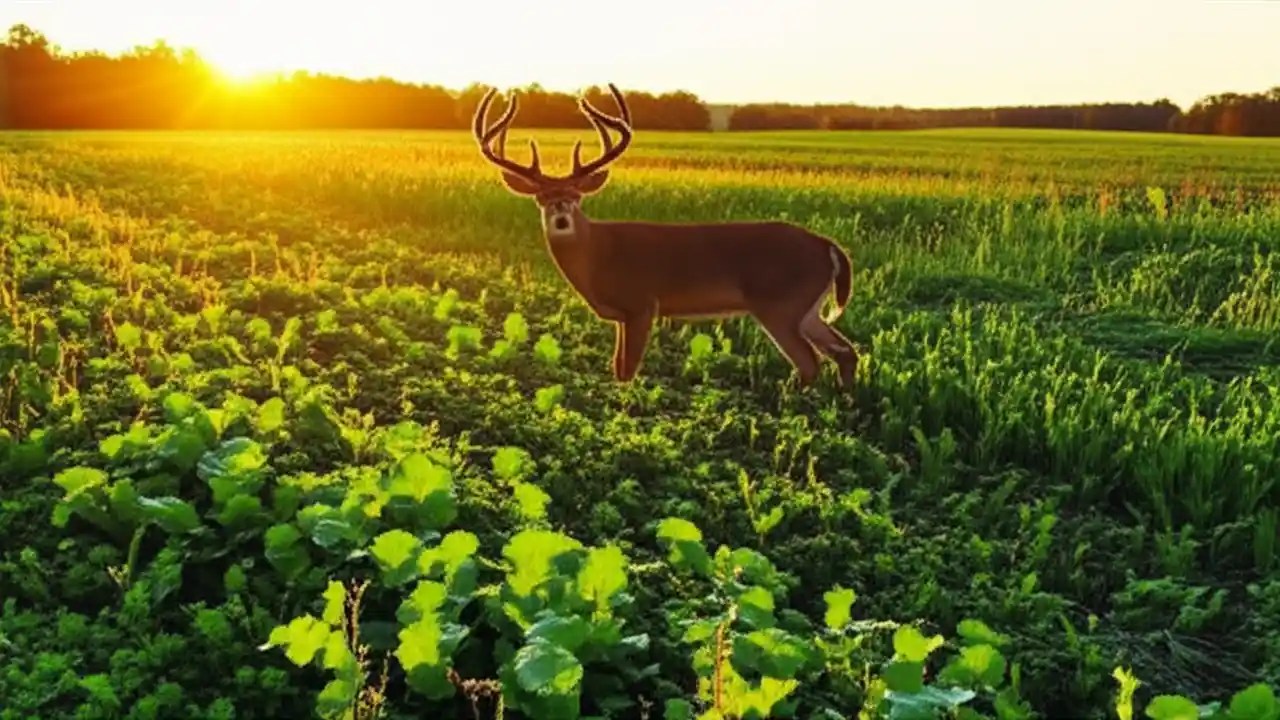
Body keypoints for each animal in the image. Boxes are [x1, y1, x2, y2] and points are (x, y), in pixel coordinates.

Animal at [471, 83, 860, 388]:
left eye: (577, 195)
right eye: (541, 198)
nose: (562, 214)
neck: (598, 255)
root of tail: (828, 246)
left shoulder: (643, 302)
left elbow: (626, 372)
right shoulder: (623, 315)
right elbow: (616, 368)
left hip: (780, 303)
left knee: (810, 361)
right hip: (806, 307)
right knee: (845, 351)